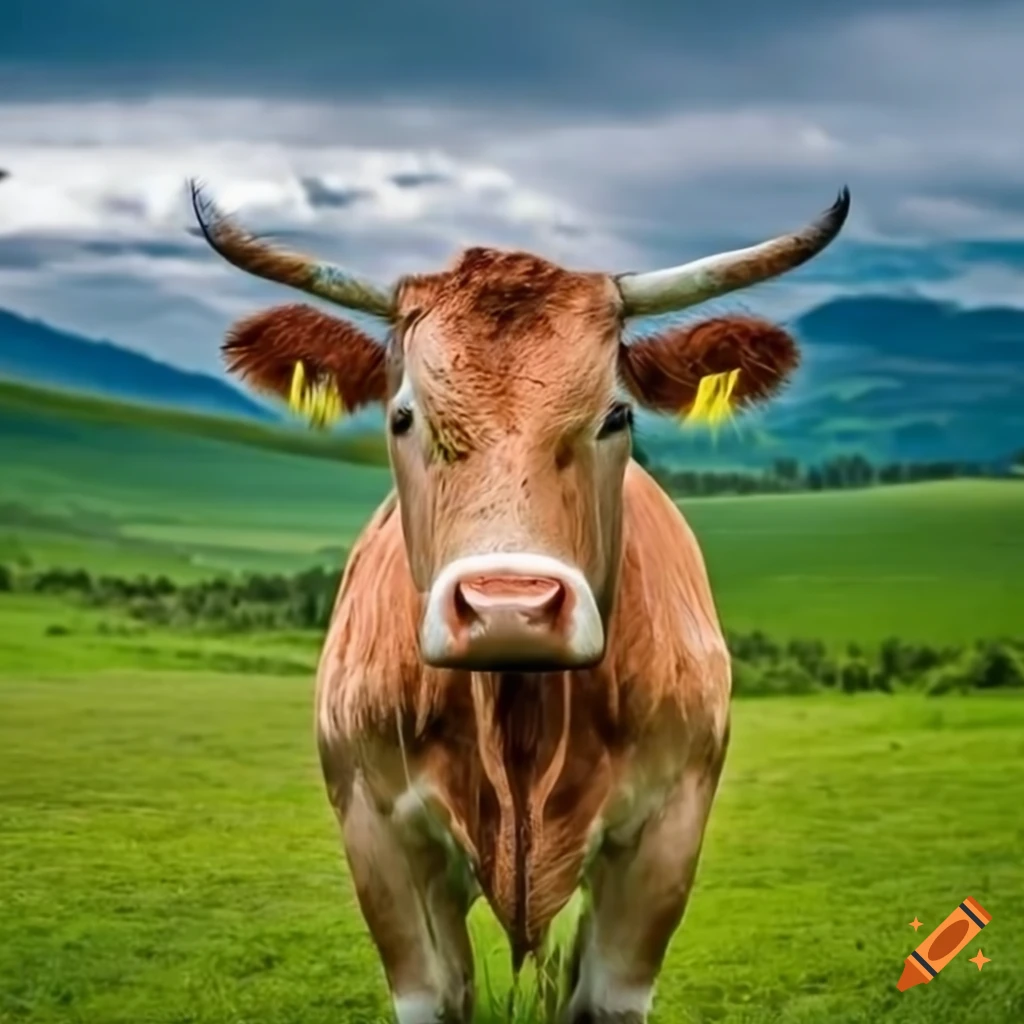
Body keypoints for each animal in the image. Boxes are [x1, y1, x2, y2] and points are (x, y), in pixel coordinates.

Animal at [190, 181, 849, 1024]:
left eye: (617, 414)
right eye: (403, 415)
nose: (510, 607)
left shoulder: (666, 831)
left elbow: (602, 994)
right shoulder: (378, 833)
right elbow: (438, 993)